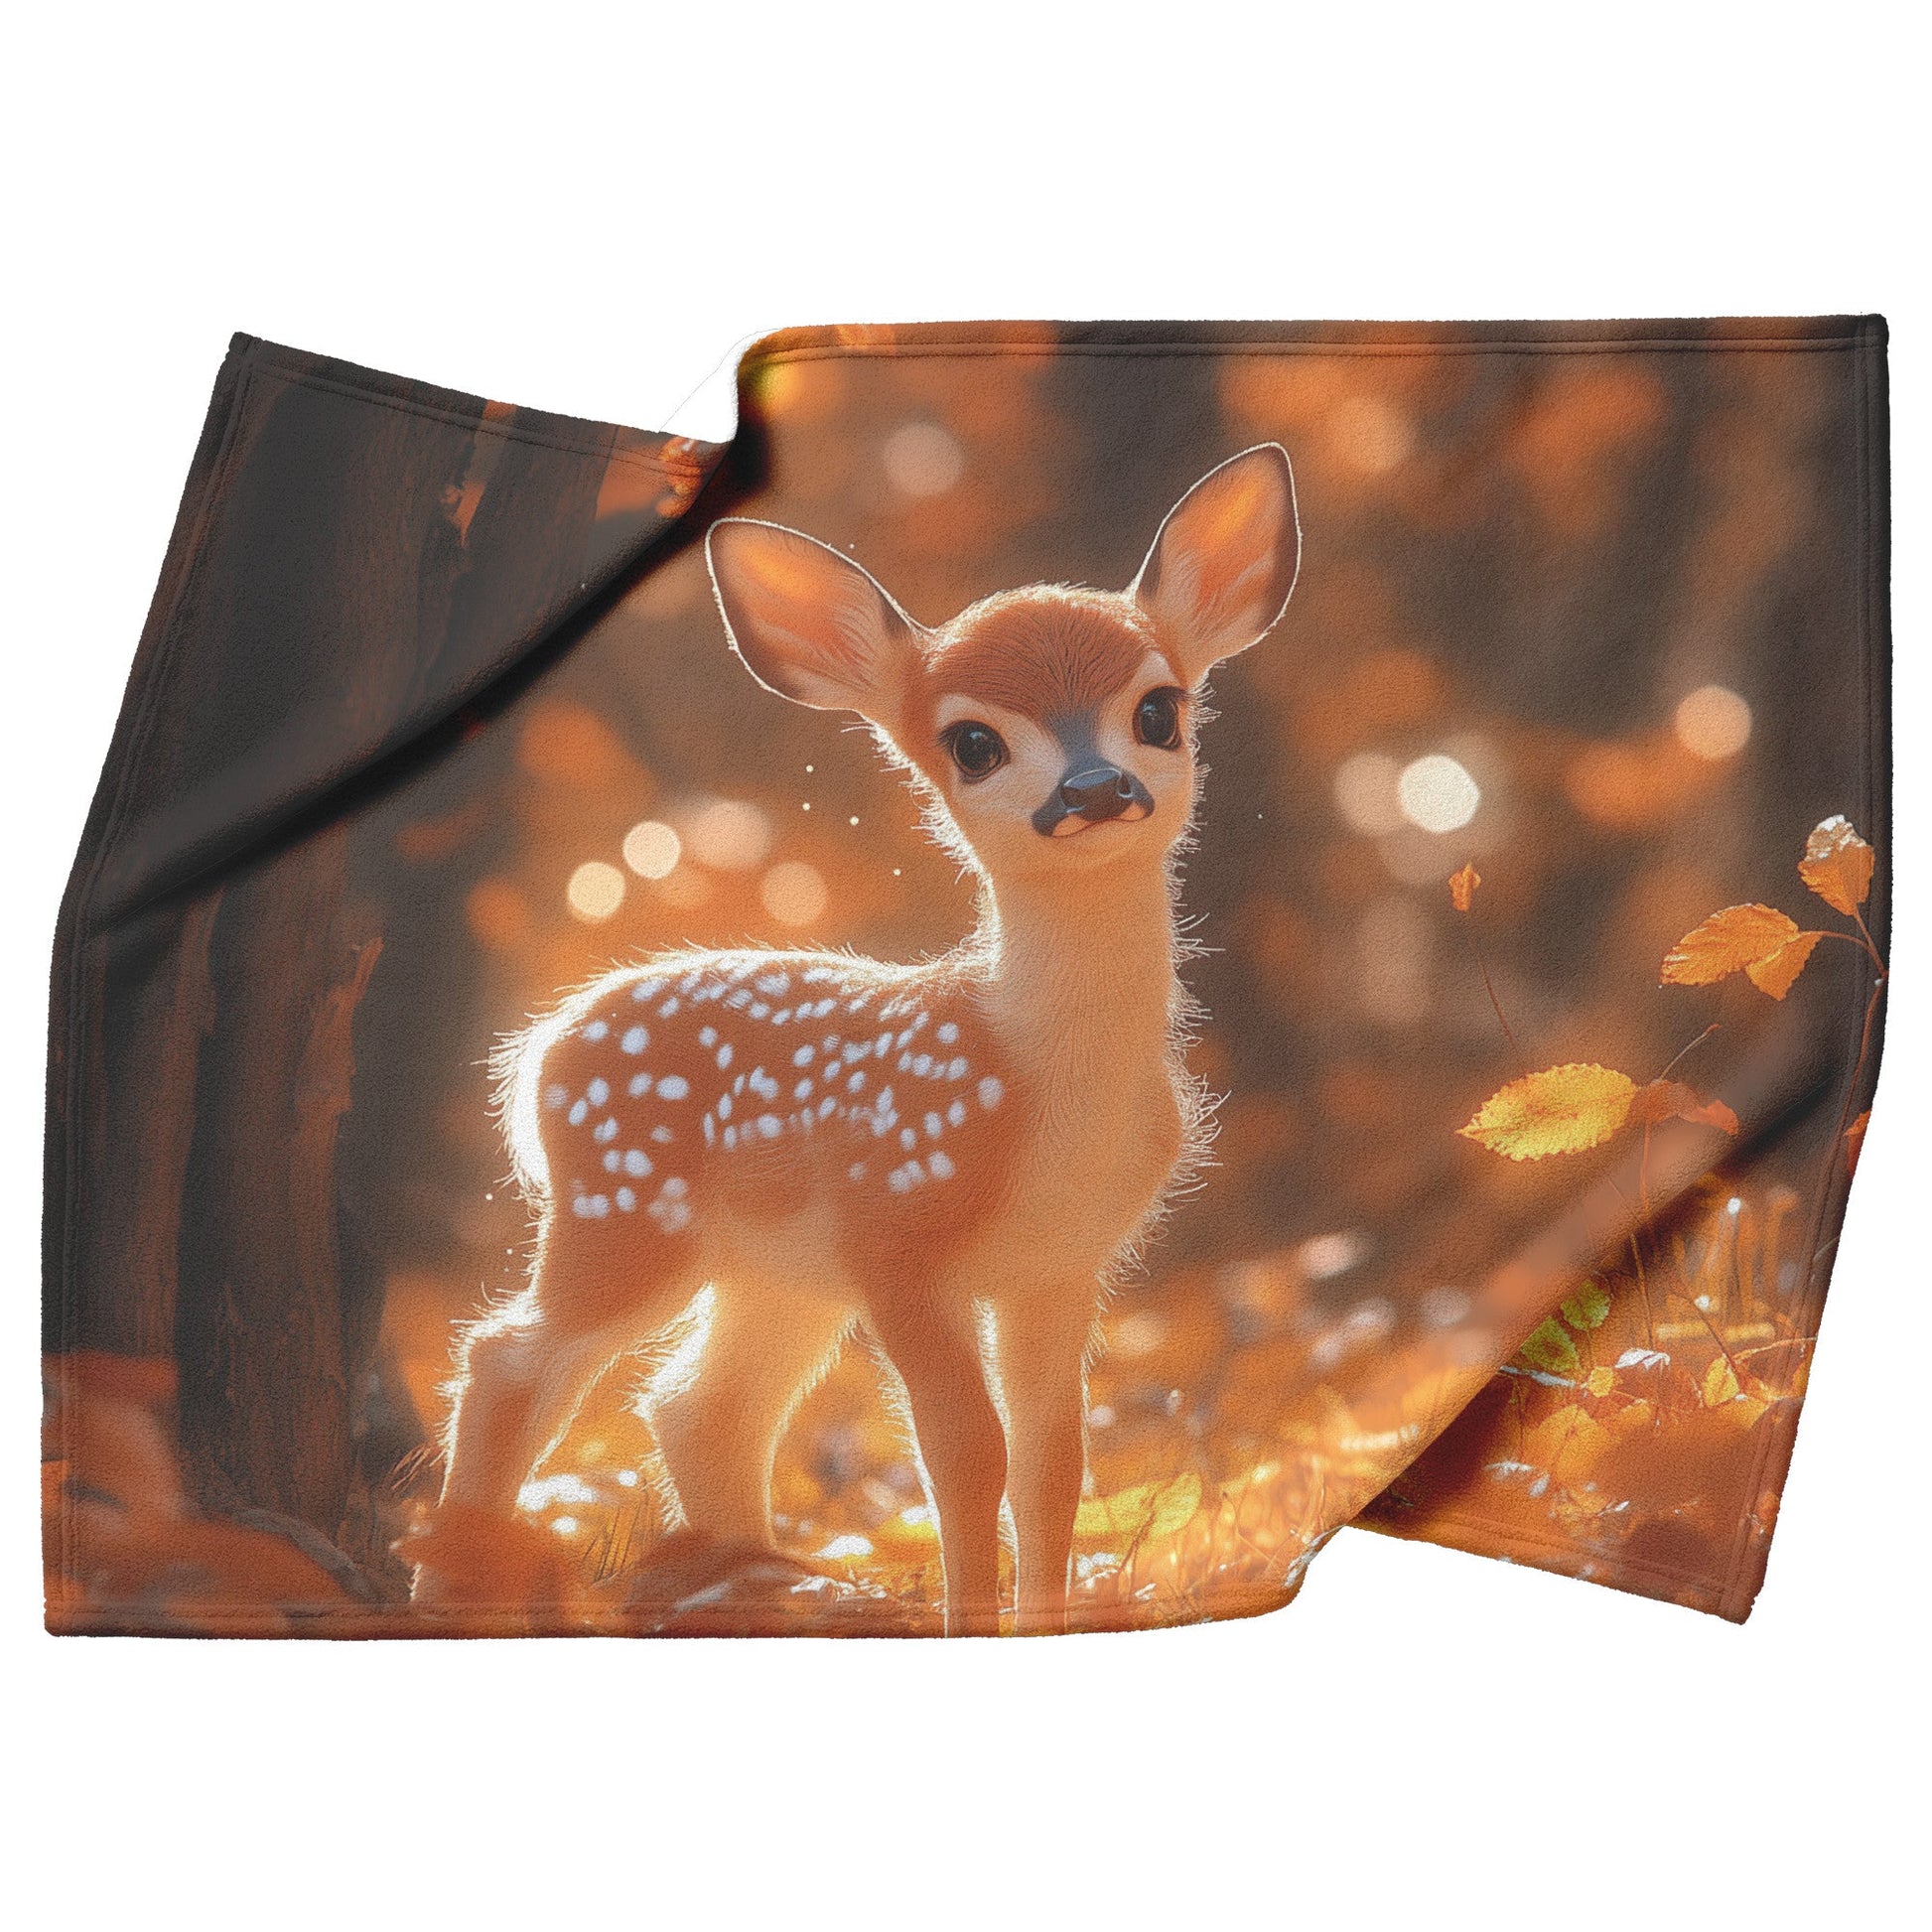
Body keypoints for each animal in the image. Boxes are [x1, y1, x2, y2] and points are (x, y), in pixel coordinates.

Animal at [413, 443, 1300, 1634]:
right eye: (972, 742)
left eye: (1158, 710)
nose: (1093, 789)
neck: (1039, 1078)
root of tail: (540, 1049)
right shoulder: (899, 1236)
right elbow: (963, 1457)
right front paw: (973, 1626)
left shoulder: (1060, 1265)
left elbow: (1054, 1464)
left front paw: (1040, 1621)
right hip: (626, 1210)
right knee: (512, 1357)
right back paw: (444, 1588)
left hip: (775, 1271)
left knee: (700, 1405)